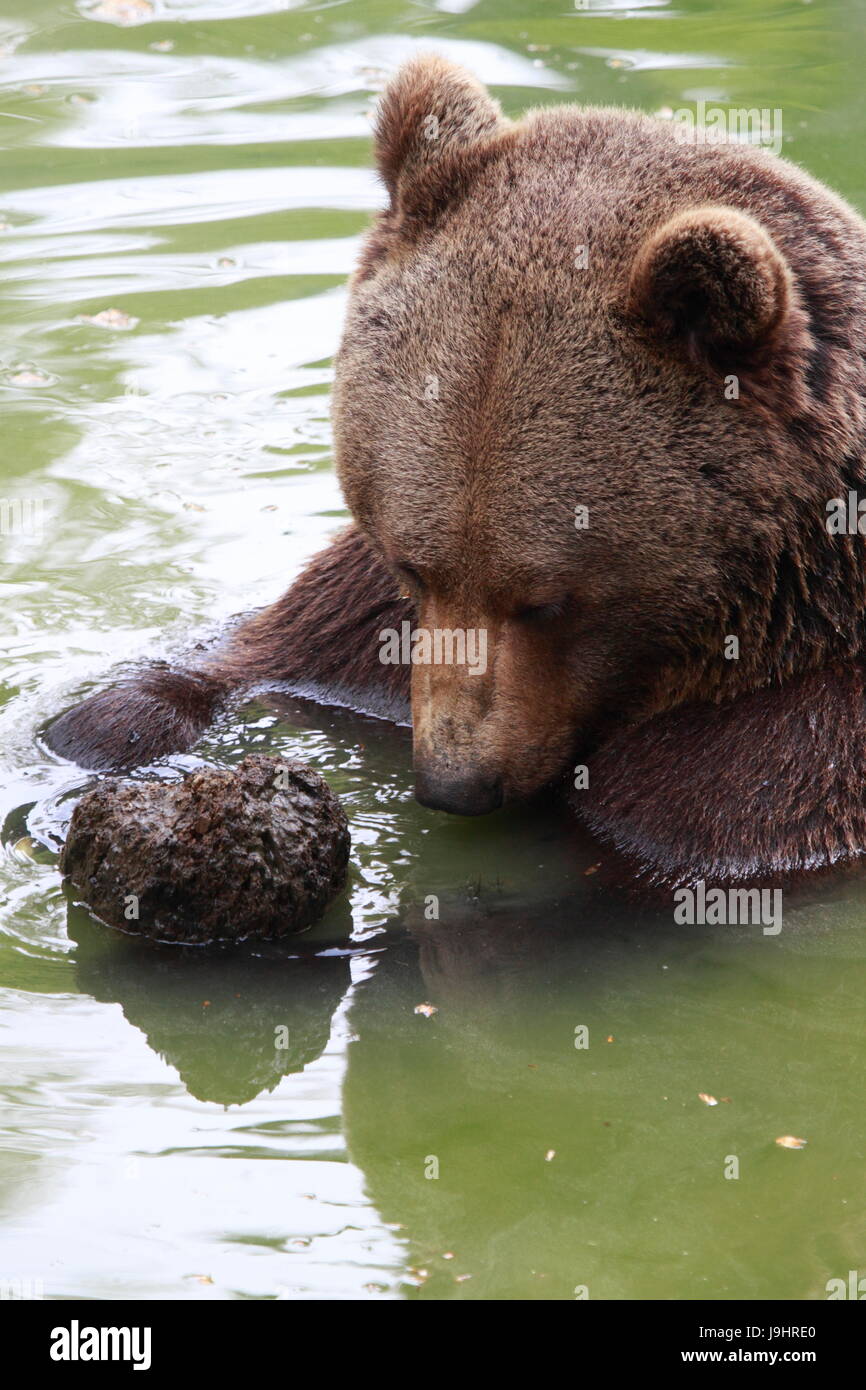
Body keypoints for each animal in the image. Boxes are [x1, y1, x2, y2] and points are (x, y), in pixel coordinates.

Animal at [45, 55, 866, 886]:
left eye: (549, 602)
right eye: (413, 564)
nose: (456, 784)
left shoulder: (782, 762)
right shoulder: (362, 629)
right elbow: (245, 656)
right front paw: (109, 739)